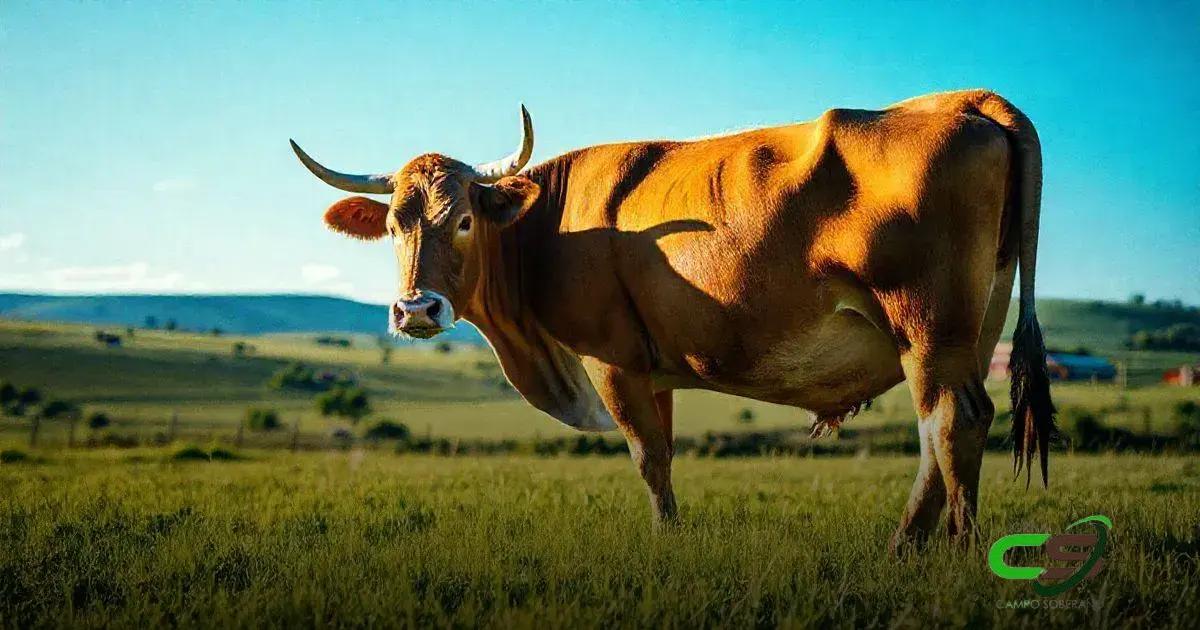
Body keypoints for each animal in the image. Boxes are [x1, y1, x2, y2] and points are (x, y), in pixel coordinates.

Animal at [291, 89, 1056, 551]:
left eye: (464, 220)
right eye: (395, 224)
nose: (415, 309)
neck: (549, 226)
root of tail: (961, 100)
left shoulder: (612, 360)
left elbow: (649, 459)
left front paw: (666, 543)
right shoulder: (652, 367)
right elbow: (662, 455)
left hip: (927, 324)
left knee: (952, 424)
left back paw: (957, 553)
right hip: (965, 330)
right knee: (939, 434)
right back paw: (904, 549)